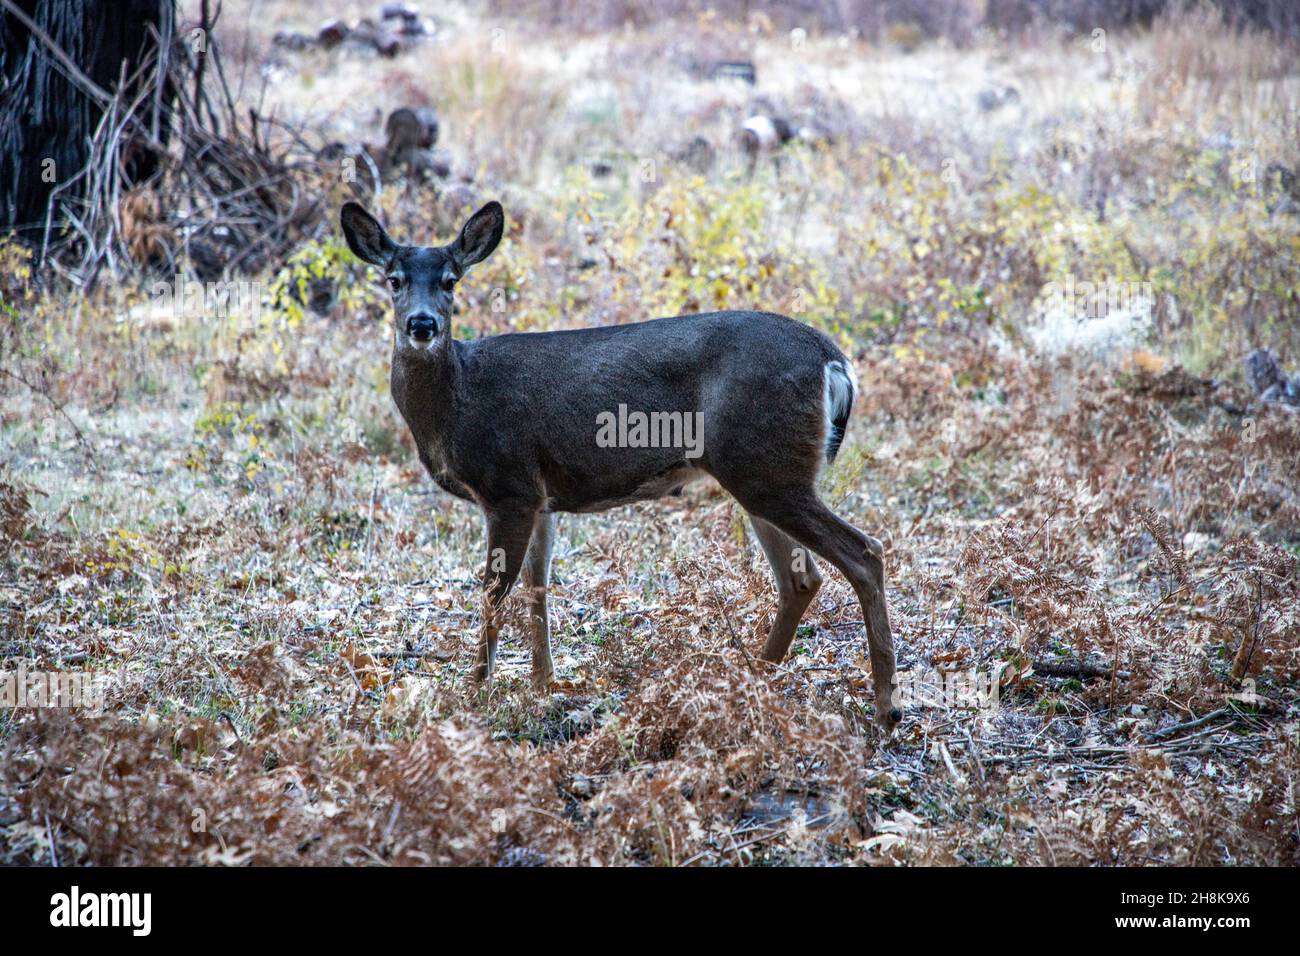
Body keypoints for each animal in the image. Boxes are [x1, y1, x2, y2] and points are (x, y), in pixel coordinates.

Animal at [339, 200, 901, 730]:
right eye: (393, 279)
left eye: (451, 280)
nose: (422, 324)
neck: (458, 401)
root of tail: (834, 361)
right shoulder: (540, 497)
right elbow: (537, 588)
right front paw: (543, 685)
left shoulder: (508, 485)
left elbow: (494, 593)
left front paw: (475, 690)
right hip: (763, 472)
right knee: (801, 580)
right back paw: (753, 682)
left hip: (767, 467)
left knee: (864, 552)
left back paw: (885, 707)